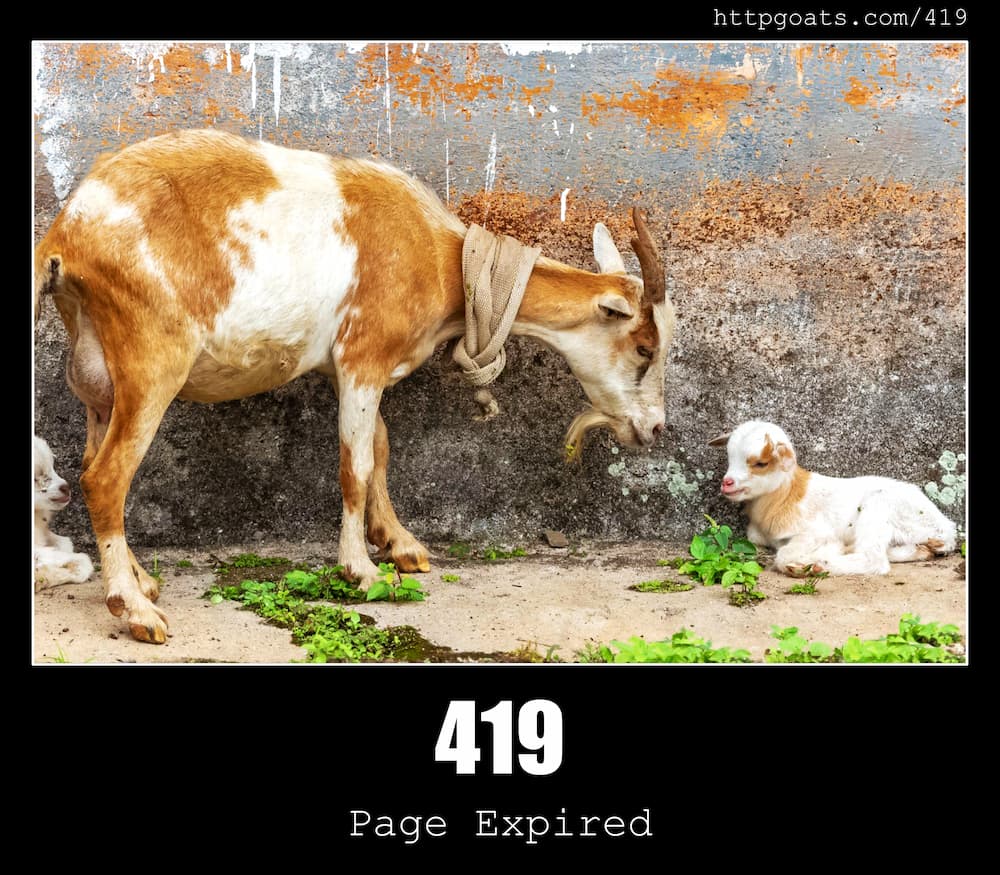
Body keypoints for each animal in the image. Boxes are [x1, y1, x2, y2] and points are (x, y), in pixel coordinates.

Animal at [33, 435, 94, 590]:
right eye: (35, 478)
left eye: (52, 466)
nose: (66, 488)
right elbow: (84, 560)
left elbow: (66, 543)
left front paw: (42, 577)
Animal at [709, 420, 957, 576]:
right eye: (729, 457)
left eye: (761, 463)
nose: (727, 483)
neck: (785, 496)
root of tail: (947, 528)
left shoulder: (815, 531)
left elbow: (783, 555)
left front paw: (810, 560)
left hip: (880, 507)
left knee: (874, 560)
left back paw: (818, 565)